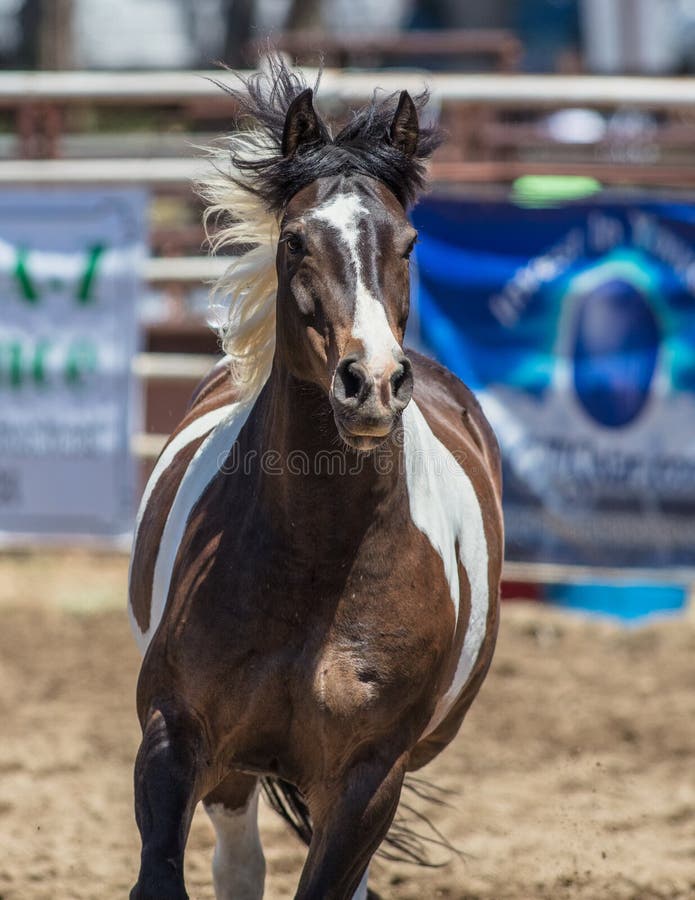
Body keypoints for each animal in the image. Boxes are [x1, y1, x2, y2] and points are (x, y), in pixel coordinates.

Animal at [128, 61, 503, 900]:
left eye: (409, 242)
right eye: (297, 239)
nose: (371, 384)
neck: (317, 558)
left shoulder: (368, 781)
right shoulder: (175, 733)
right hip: (235, 772)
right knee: (239, 864)